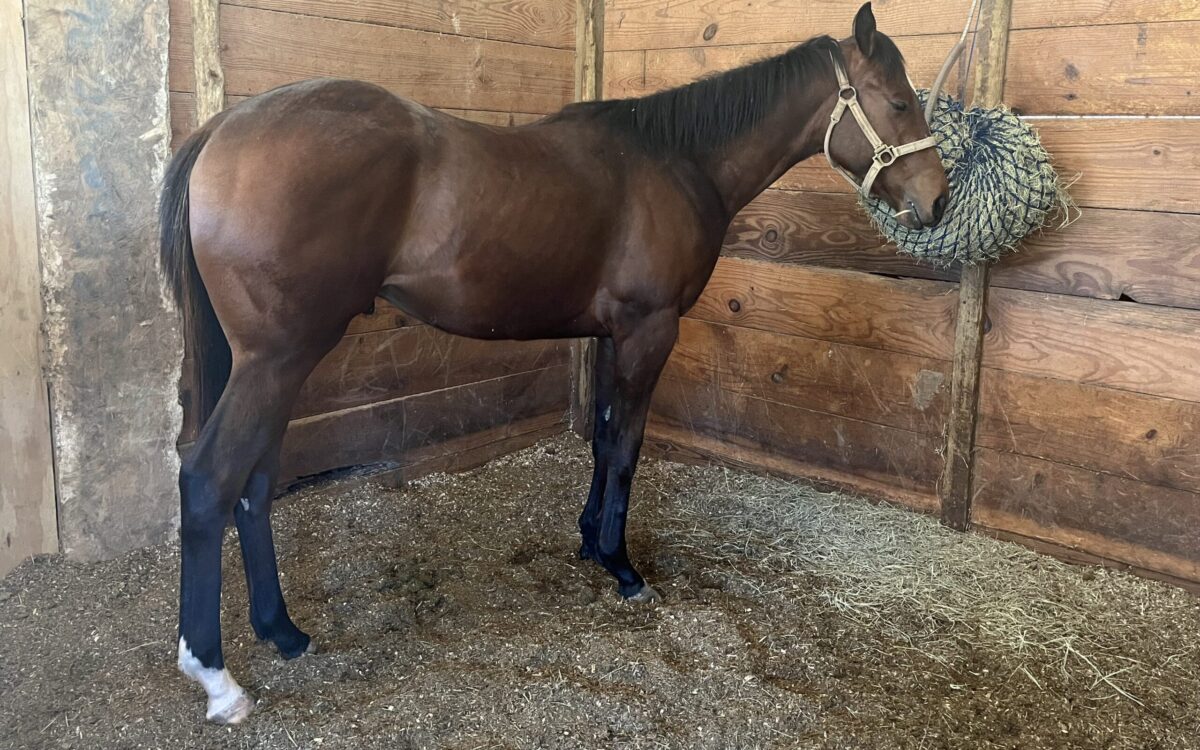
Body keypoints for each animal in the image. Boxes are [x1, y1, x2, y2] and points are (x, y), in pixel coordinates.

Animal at [160, 2, 948, 723]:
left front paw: (589, 542)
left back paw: (283, 631)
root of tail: (224, 128)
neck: (675, 162)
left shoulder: (609, 336)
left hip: (270, 364)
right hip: (277, 359)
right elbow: (626, 447)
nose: (937, 202)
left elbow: (600, 437)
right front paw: (623, 567)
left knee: (255, 484)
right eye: (900, 101)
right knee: (209, 480)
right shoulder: (648, 332)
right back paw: (217, 678)